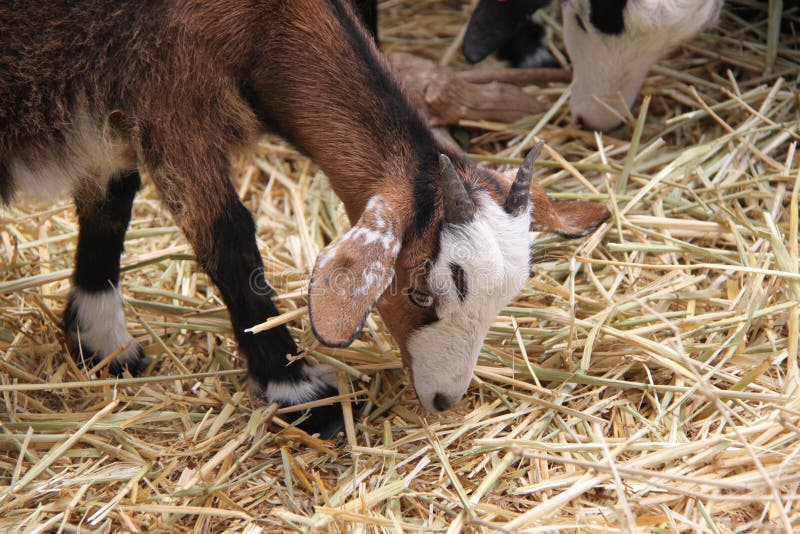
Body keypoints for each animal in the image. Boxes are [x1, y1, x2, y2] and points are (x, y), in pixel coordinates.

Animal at [0, 0, 609, 437]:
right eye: (418, 293)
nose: (444, 401)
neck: (262, 23)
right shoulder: (171, 97)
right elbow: (228, 237)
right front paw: (295, 388)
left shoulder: (116, 97)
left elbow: (112, 198)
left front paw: (98, 335)